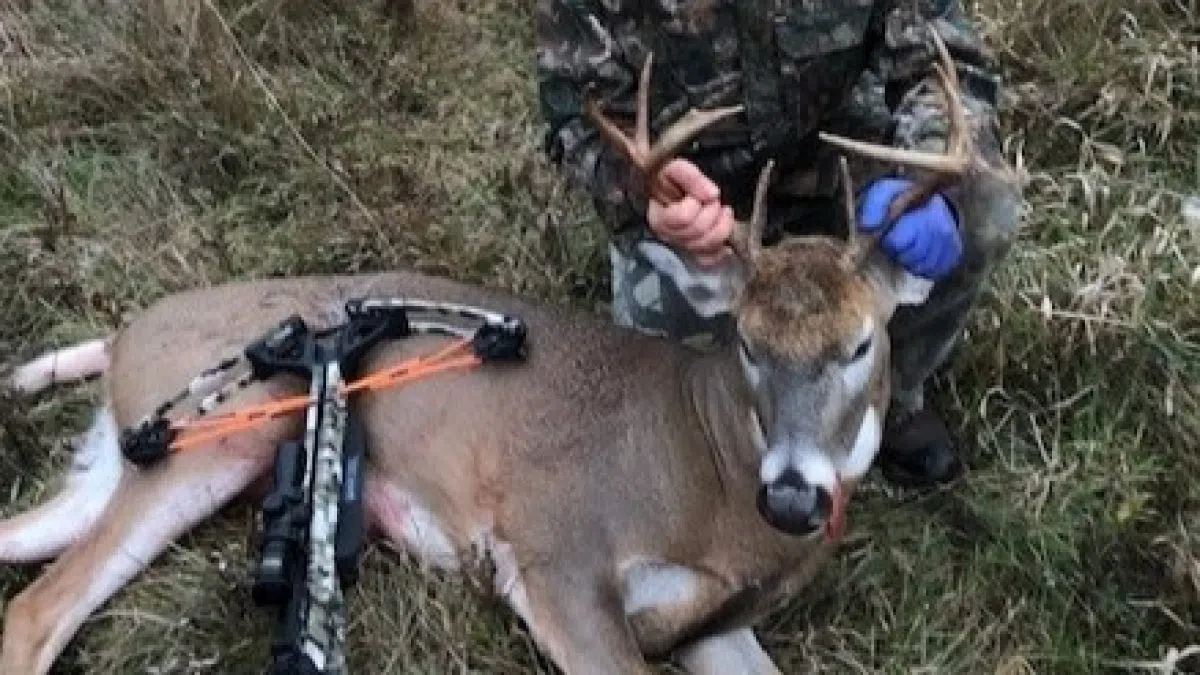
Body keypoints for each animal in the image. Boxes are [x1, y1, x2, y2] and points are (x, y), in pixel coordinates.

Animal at [0, 30, 972, 675]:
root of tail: (125, 334)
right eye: (747, 340)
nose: (794, 496)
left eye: (860, 342)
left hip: (122, 461)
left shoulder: (711, 622)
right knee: (35, 611)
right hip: (224, 431)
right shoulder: (560, 553)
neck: (713, 482)